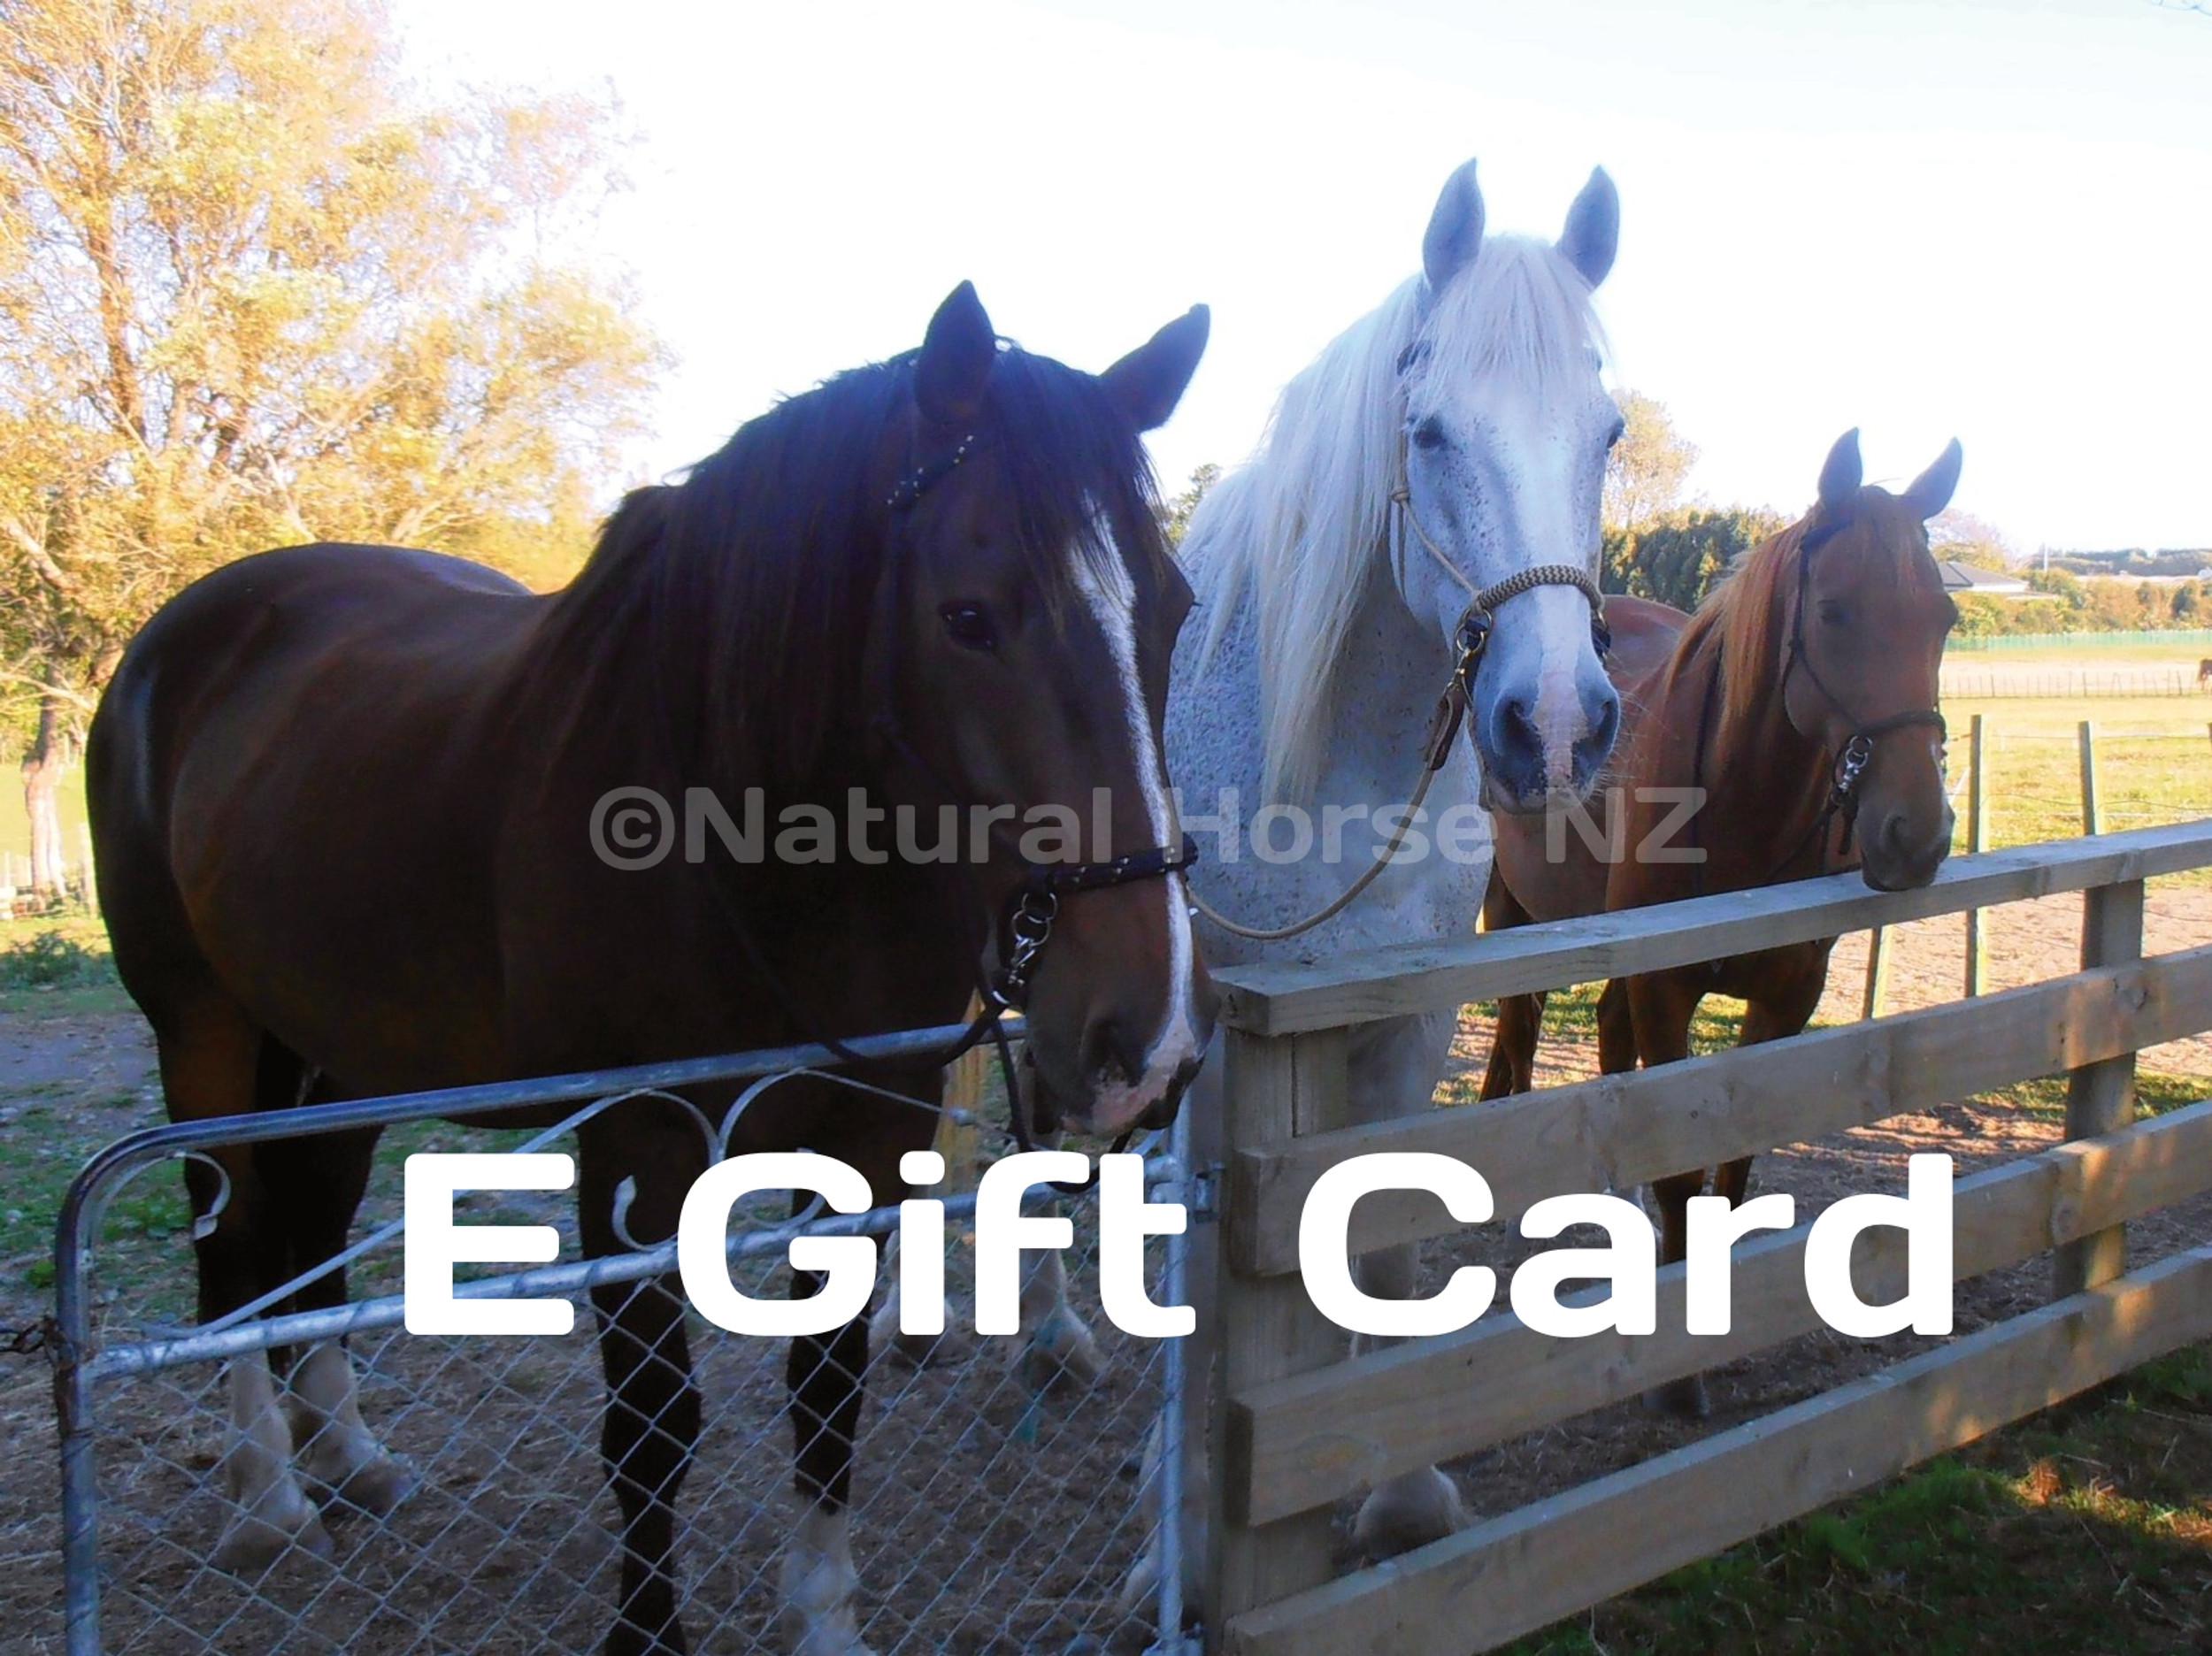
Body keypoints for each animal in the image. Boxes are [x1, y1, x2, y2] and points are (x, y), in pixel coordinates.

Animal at [84, 280, 1213, 1656]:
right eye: (967, 615)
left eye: (1172, 608)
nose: (1147, 1039)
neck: (748, 839)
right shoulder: (635, 1148)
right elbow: (654, 1421)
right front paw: (649, 1632)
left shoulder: (868, 1130)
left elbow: (825, 1383)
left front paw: (823, 1619)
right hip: (200, 1027)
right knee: (235, 1233)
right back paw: (267, 1493)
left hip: (333, 1053)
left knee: (315, 1224)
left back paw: (346, 1451)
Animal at [1099, 157, 1626, 1601]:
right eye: (1428, 434)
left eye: (1610, 433)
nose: (1556, 725)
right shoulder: (1221, 1053)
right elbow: (1203, 1291)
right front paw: (1174, 1526)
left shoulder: (1403, 1022)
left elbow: (1378, 1240)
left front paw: (1391, 1487)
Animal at [1481, 428, 1962, 1414]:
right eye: (1834, 611)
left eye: (1943, 619)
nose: (1917, 833)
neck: (1741, 807)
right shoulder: (1667, 986)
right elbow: (1677, 1163)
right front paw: (1675, 1371)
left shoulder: (1788, 995)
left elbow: (1729, 1168)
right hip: (1516, 916)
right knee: (1517, 1037)